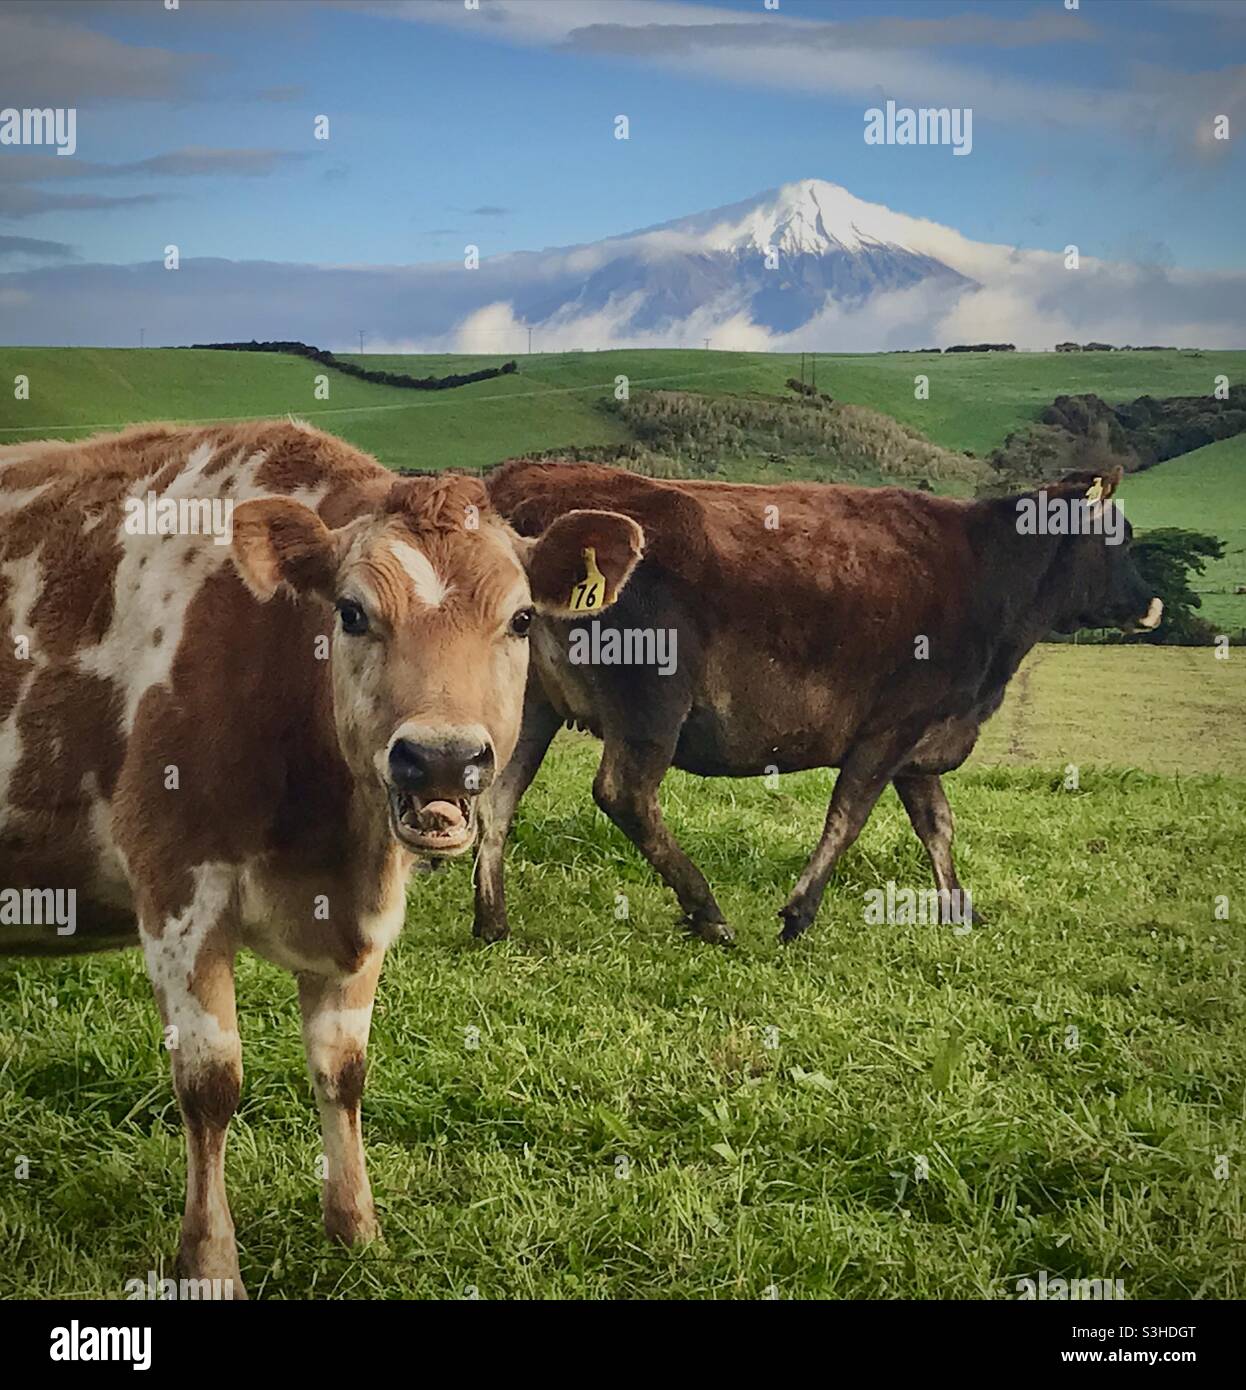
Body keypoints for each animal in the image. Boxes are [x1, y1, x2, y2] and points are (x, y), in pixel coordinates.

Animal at [0, 421, 643, 1296]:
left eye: (518, 619)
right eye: (352, 611)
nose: (441, 760)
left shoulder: (360, 914)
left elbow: (344, 1070)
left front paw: (357, 1231)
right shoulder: (176, 890)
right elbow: (210, 1085)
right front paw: (211, 1263)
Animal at [474, 460, 1162, 947]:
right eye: (1119, 538)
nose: (1153, 605)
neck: (989, 570)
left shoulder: (920, 738)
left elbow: (937, 825)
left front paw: (958, 908)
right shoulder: (891, 728)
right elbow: (848, 817)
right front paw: (799, 912)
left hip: (529, 704)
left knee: (497, 798)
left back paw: (492, 920)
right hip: (651, 705)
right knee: (624, 794)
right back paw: (708, 913)